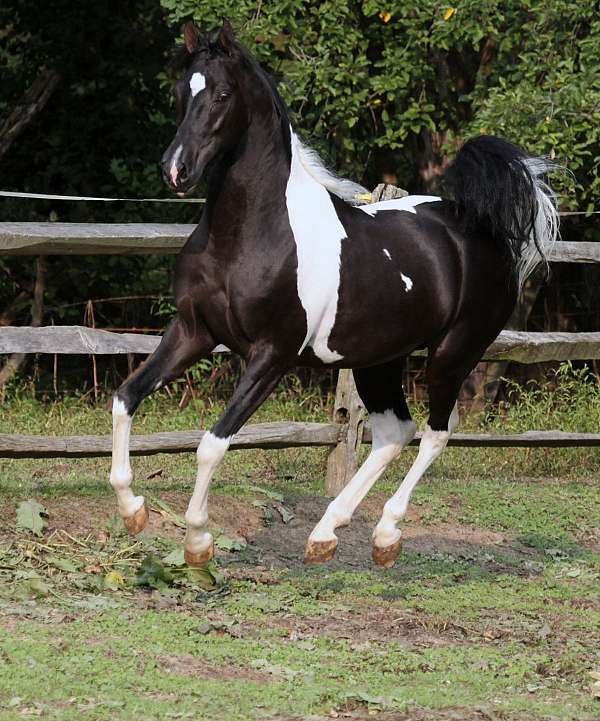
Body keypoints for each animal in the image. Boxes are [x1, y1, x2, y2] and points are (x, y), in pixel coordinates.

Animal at [109, 21, 559, 569]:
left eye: (222, 94)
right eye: (180, 91)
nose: (177, 170)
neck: (251, 235)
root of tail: (477, 226)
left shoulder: (272, 355)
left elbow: (212, 444)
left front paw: (198, 541)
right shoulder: (193, 332)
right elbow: (126, 398)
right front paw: (133, 511)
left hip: (453, 353)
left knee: (436, 432)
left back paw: (386, 534)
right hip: (378, 360)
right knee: (394, 432)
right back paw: (326, 534)